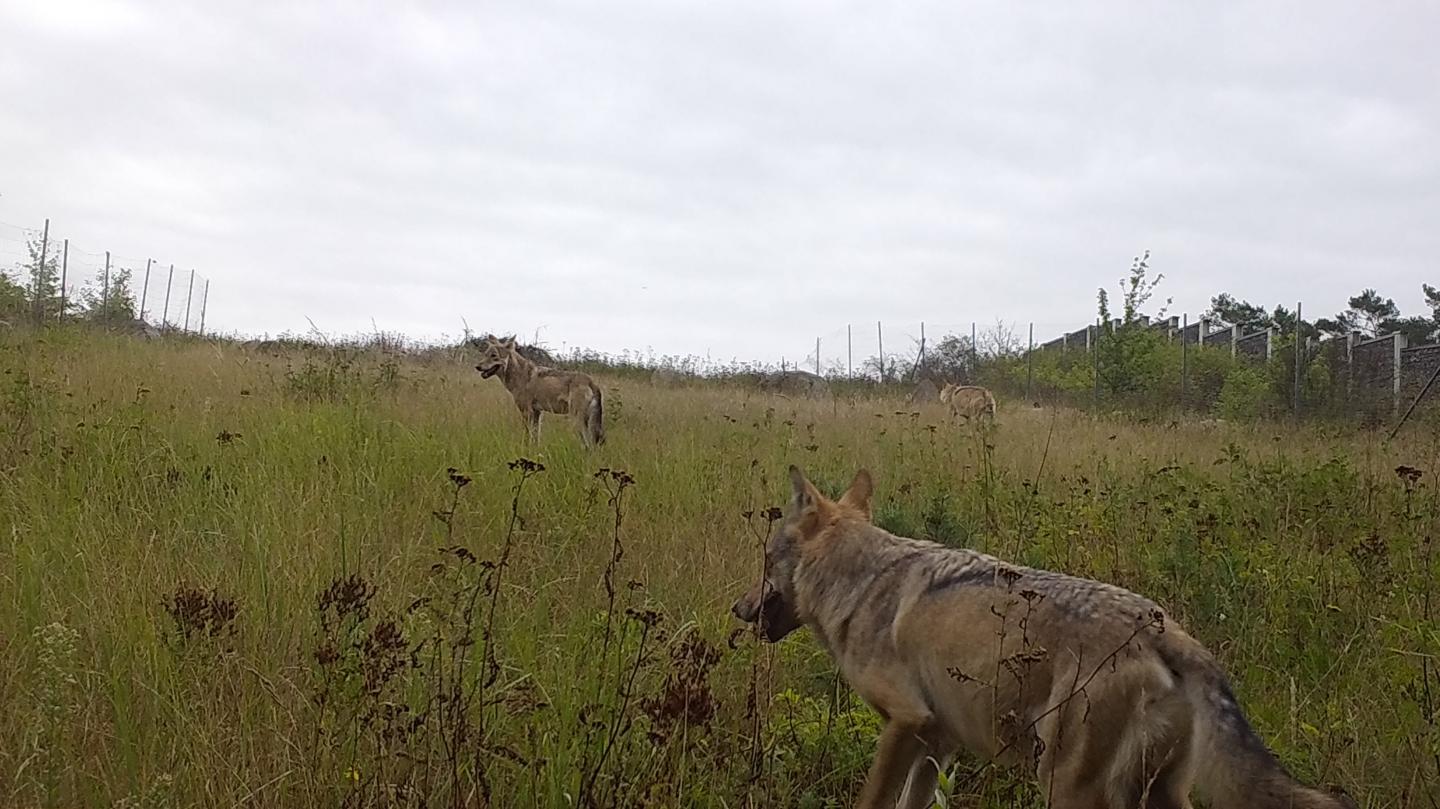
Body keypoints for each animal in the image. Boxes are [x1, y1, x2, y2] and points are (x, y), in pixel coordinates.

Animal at [475, 333, 604, 446]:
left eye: (494, 356)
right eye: (485, 354)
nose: (477, 367)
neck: (519, 375)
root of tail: (591, 381)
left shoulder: (527, 412)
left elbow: (527, 436)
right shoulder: (537, 413)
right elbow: (536, 438)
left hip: (577, 421)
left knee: (587, 446)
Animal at [737, 466, 1353, 806]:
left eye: (764, 561)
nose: (737, 610)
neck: (860, 581)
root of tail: (1166, 629)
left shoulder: (905, 723)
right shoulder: (938, 740)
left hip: (1065, 786)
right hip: (1158, 793)